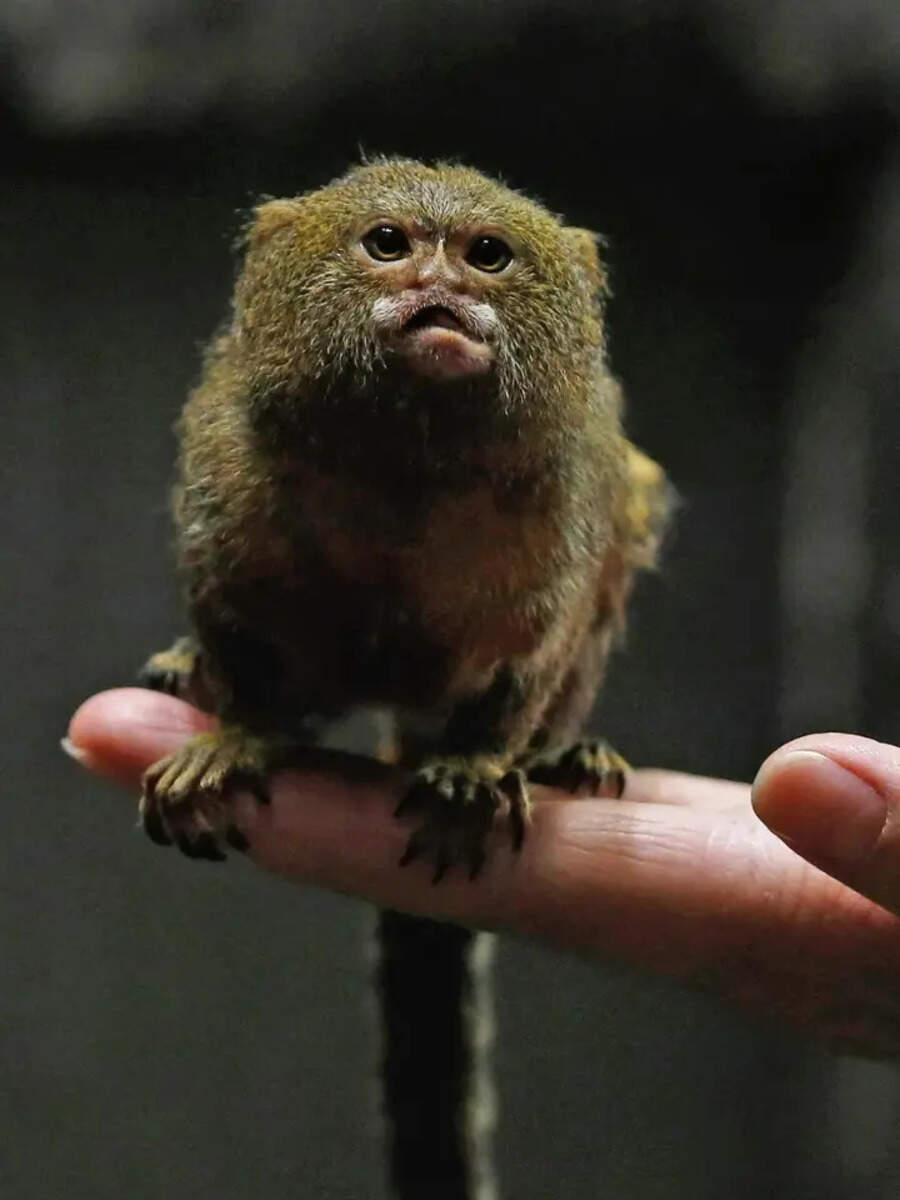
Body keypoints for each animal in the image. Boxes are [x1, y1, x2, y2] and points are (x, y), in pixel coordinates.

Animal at [137, 158, 671, 1198]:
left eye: (487, 255)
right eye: (389, 243)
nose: (442, 289)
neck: (408, 466)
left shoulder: (565, 504)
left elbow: (529, 656)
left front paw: (473, 770)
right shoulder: (228, 476)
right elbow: (237, 627)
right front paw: (236, 734)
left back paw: (564, 755)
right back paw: (189, 676)